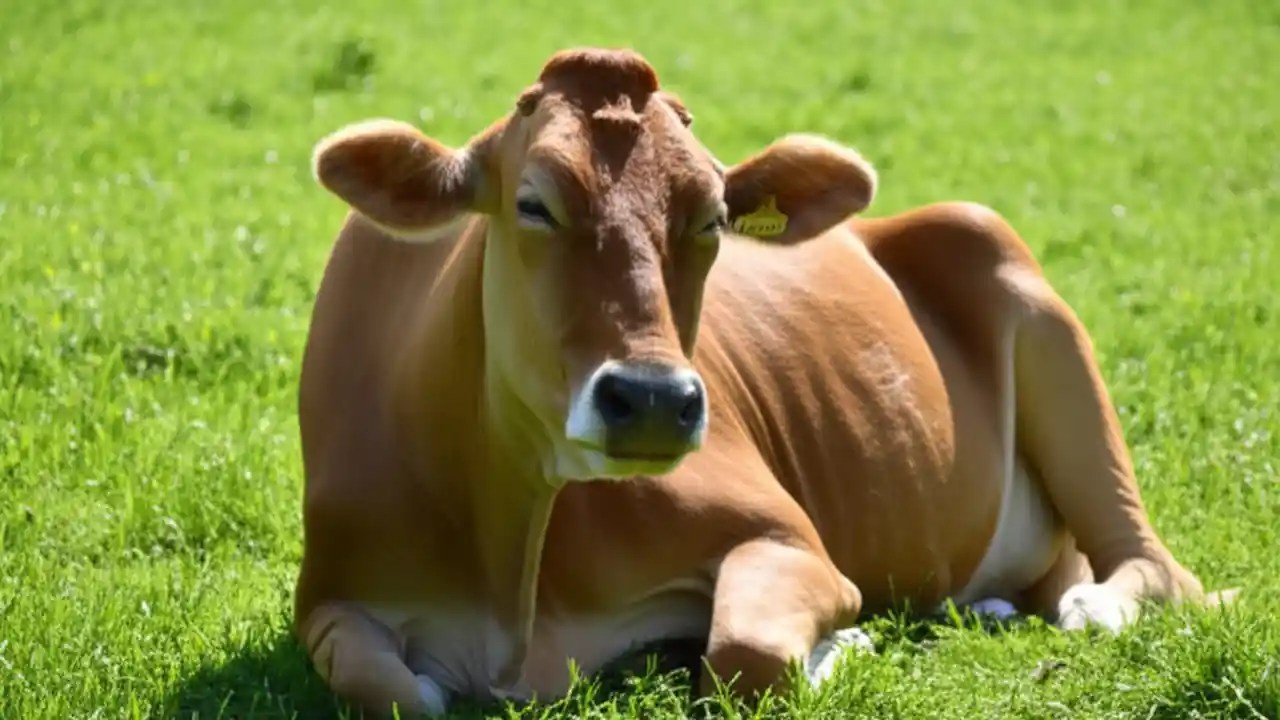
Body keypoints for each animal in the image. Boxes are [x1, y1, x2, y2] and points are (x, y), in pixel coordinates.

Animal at [294, 47, 1228, 717]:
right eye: (532, 203)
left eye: (712, 216)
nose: (653, 400)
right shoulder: (329, 593)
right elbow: (397, 689)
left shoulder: (788, 537)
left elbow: (747, 653)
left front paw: (845, 645)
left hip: (1020, 288)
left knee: (1154, 572)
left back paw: (1094, 606)